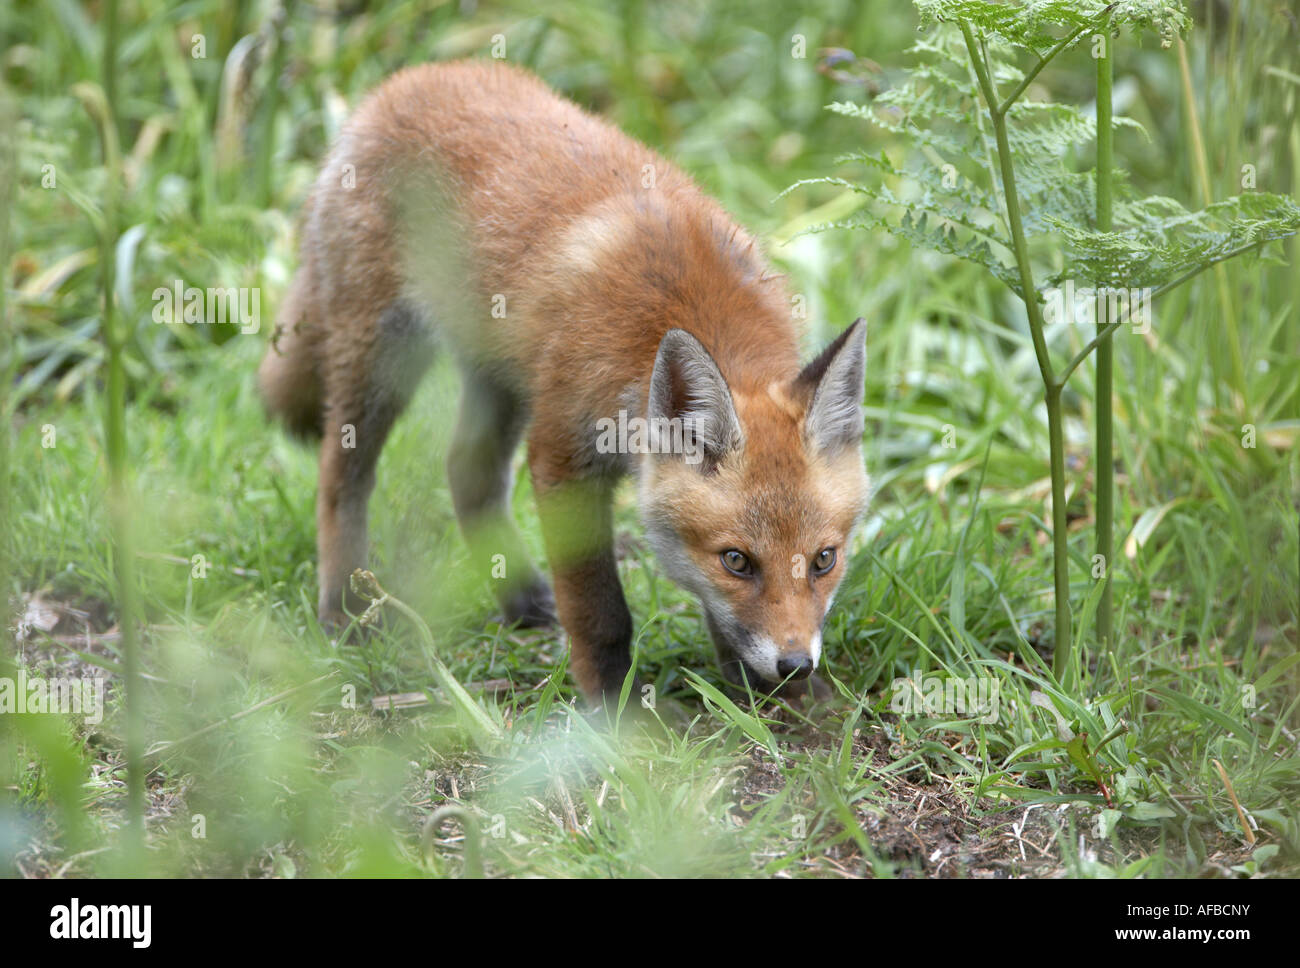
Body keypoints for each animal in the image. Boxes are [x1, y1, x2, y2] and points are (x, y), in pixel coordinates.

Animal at [258, 59, 871, 706]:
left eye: (825, 559)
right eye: (736, 560)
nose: (795, 665)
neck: (681, 312)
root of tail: (404, 79)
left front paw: (759, 693)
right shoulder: (561, 455)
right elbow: (599, 608)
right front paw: (614, 705)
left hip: (500, 376)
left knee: (467, 470)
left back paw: (520, 597)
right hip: (382, 357)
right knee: (340, 476)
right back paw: (347, 609)